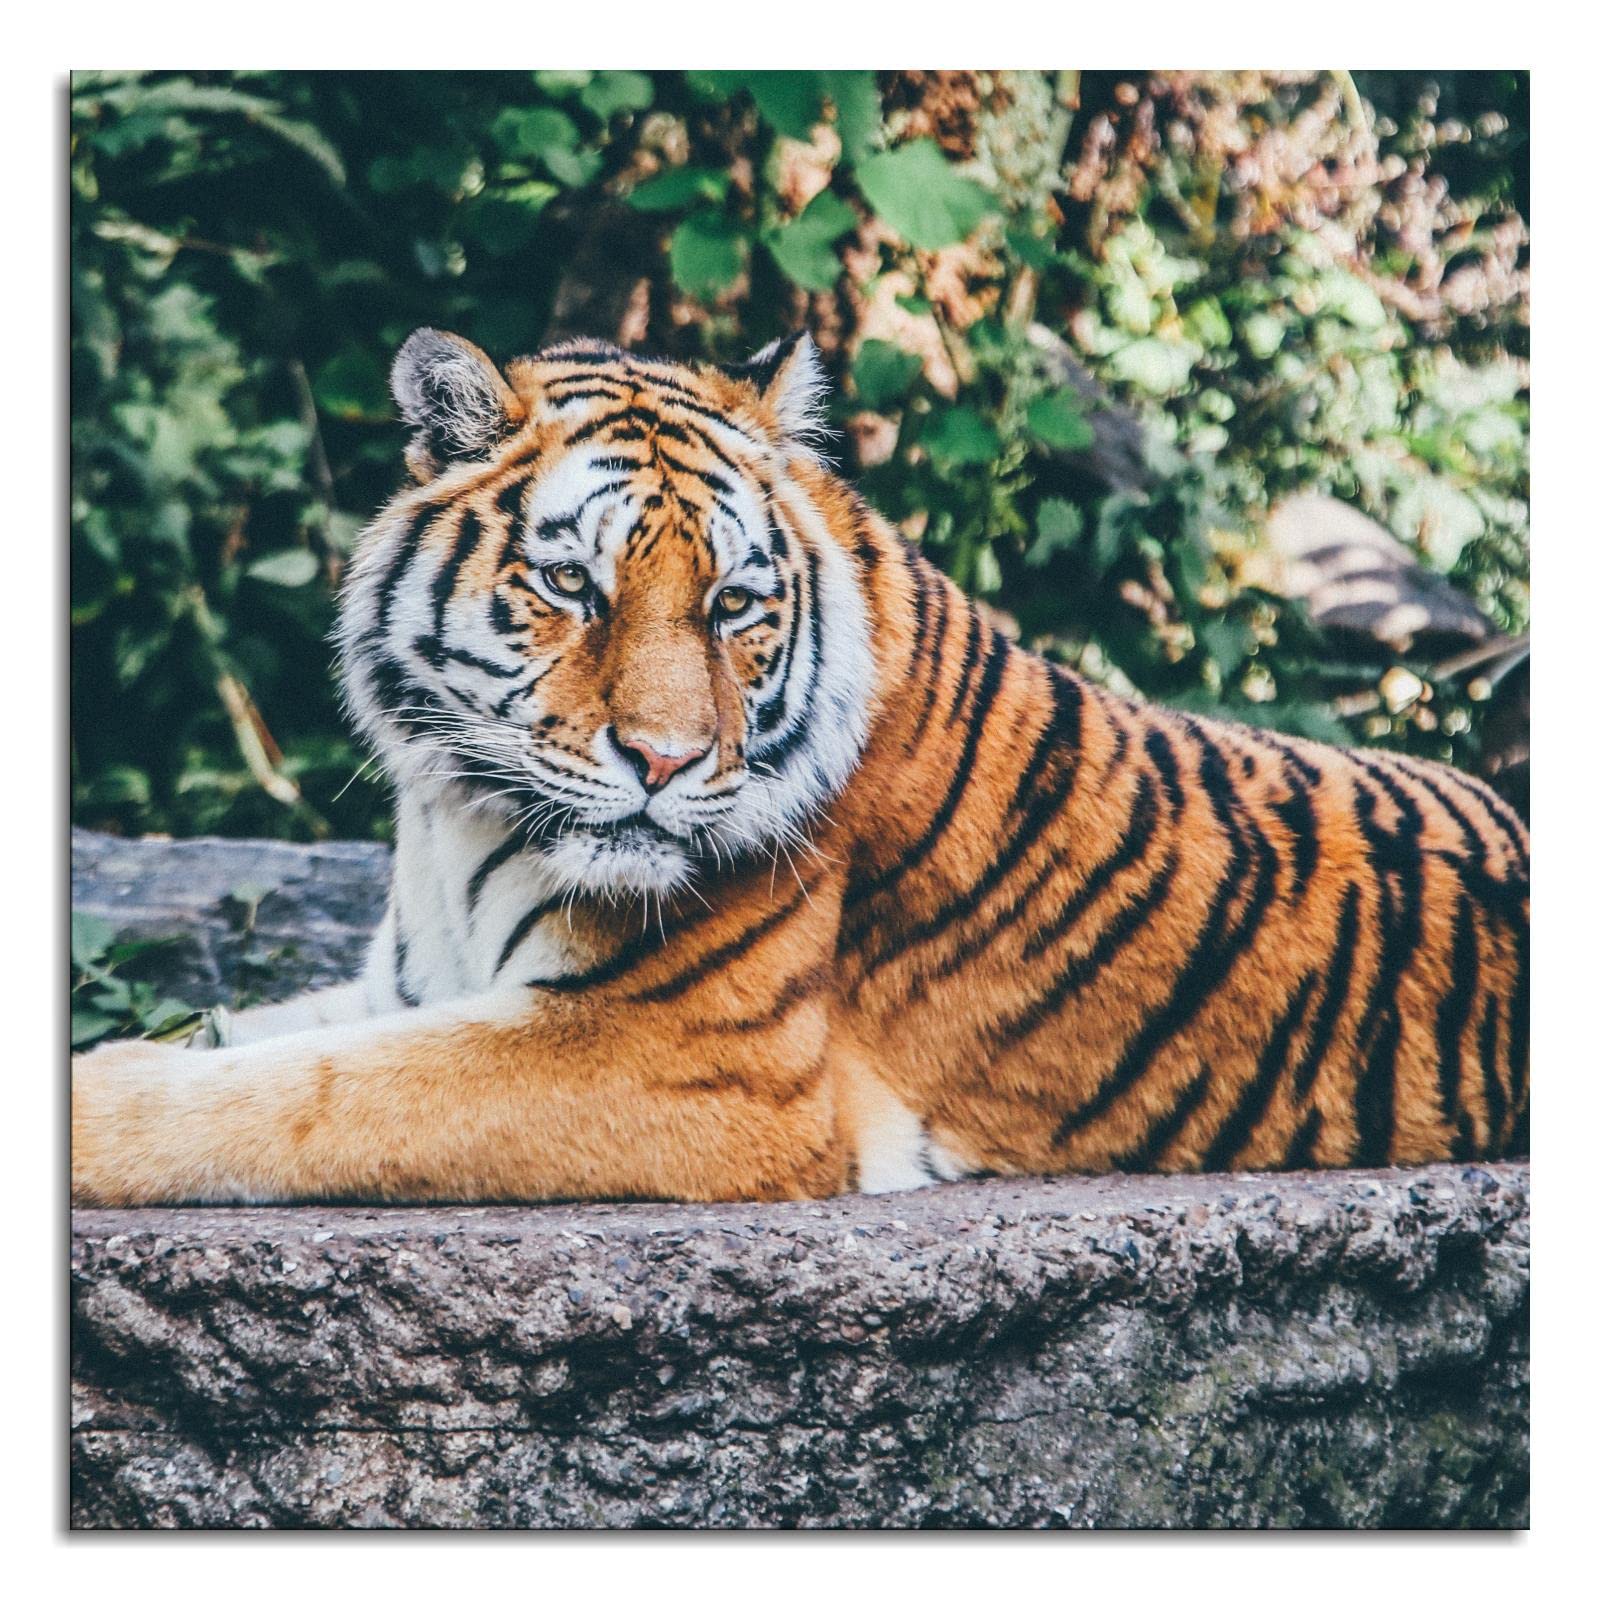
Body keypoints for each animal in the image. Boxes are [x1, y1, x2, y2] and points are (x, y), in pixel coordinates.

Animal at [70, 328, 1530, 1206]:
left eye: (732, 605)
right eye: (571, 586)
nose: (663, 762)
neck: (461, 816)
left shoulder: (685, 1061)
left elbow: (309, 1095)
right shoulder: (409, 983)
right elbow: (242, 1039)